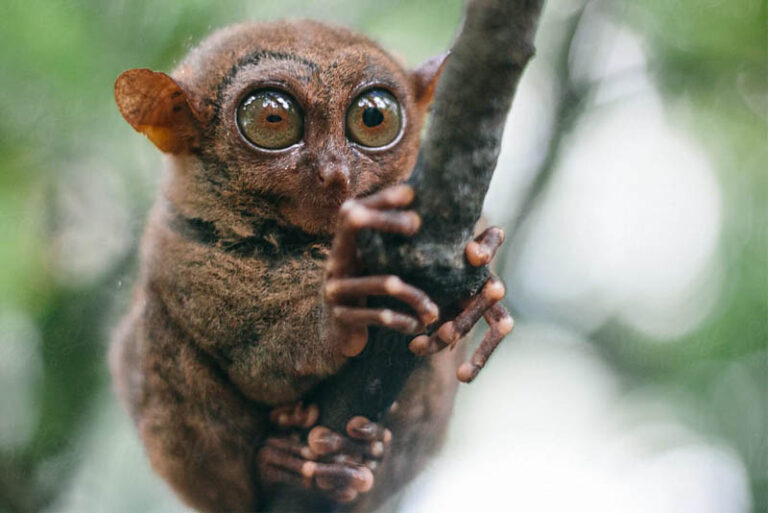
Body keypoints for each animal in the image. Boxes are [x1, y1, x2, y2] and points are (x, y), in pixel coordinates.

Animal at [110, 19, 513, 512]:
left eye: (373, 117)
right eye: (272, 119)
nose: (334, 170)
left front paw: (481, 287)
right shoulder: (182, 249)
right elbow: (256, 366)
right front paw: (339, 313)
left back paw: (356, 457)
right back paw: (284, 463)